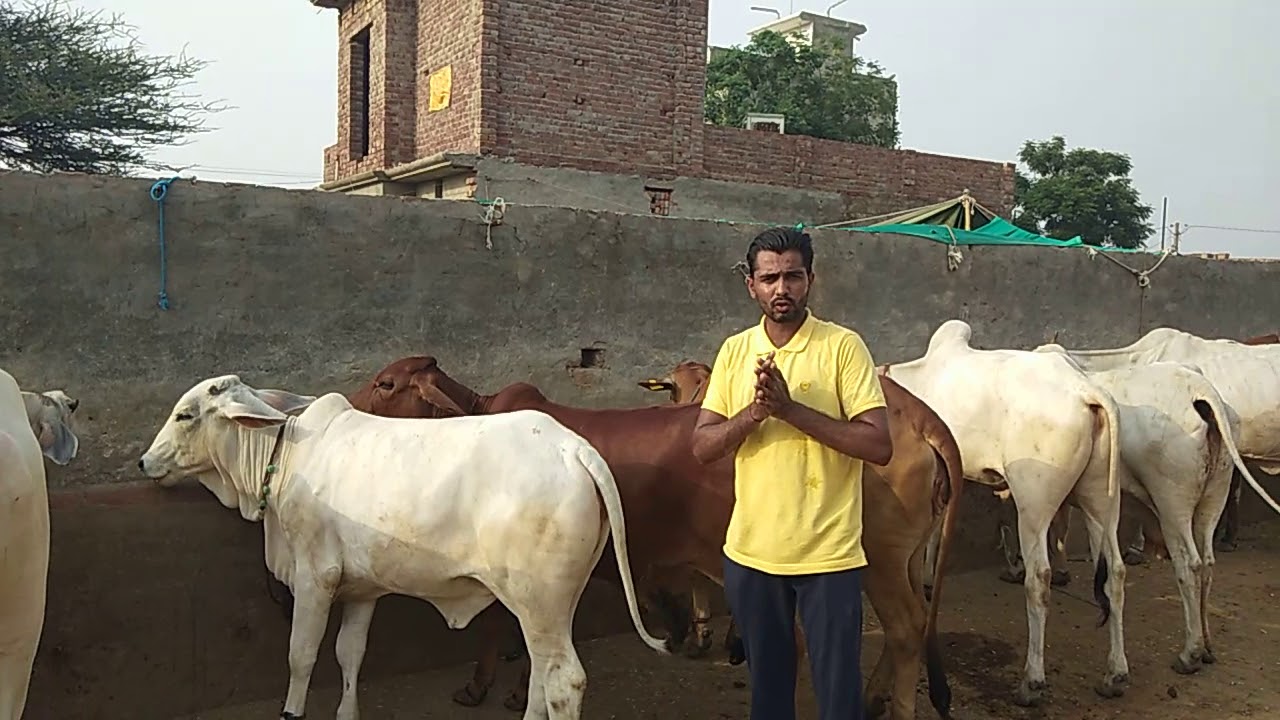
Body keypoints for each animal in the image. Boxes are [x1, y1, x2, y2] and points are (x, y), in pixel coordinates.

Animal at [138, 374, 671, 720]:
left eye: (186, 414)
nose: (144, 461)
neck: (285, 454)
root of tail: (574, 449)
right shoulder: (362, 589)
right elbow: (349, 655)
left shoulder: (314, 579)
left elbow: (301, 656)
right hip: (547, 608)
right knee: (543, 671)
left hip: (539, 601)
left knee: (564, 681)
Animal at [350, 355, 964, 720]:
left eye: (386, 383)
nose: (349, 406)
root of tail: (923, 419)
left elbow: (500, 628)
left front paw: (485, 688)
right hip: (900, 557)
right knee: (906, 624)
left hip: (867, 559)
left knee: (887, 630)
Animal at [881, 319, 1129, 708]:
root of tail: (1086, 393)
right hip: (1100, 500)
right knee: (1115, 572)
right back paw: (1114, 675)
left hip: (1034, 502)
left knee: (1040, 578)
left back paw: (1031, 682)